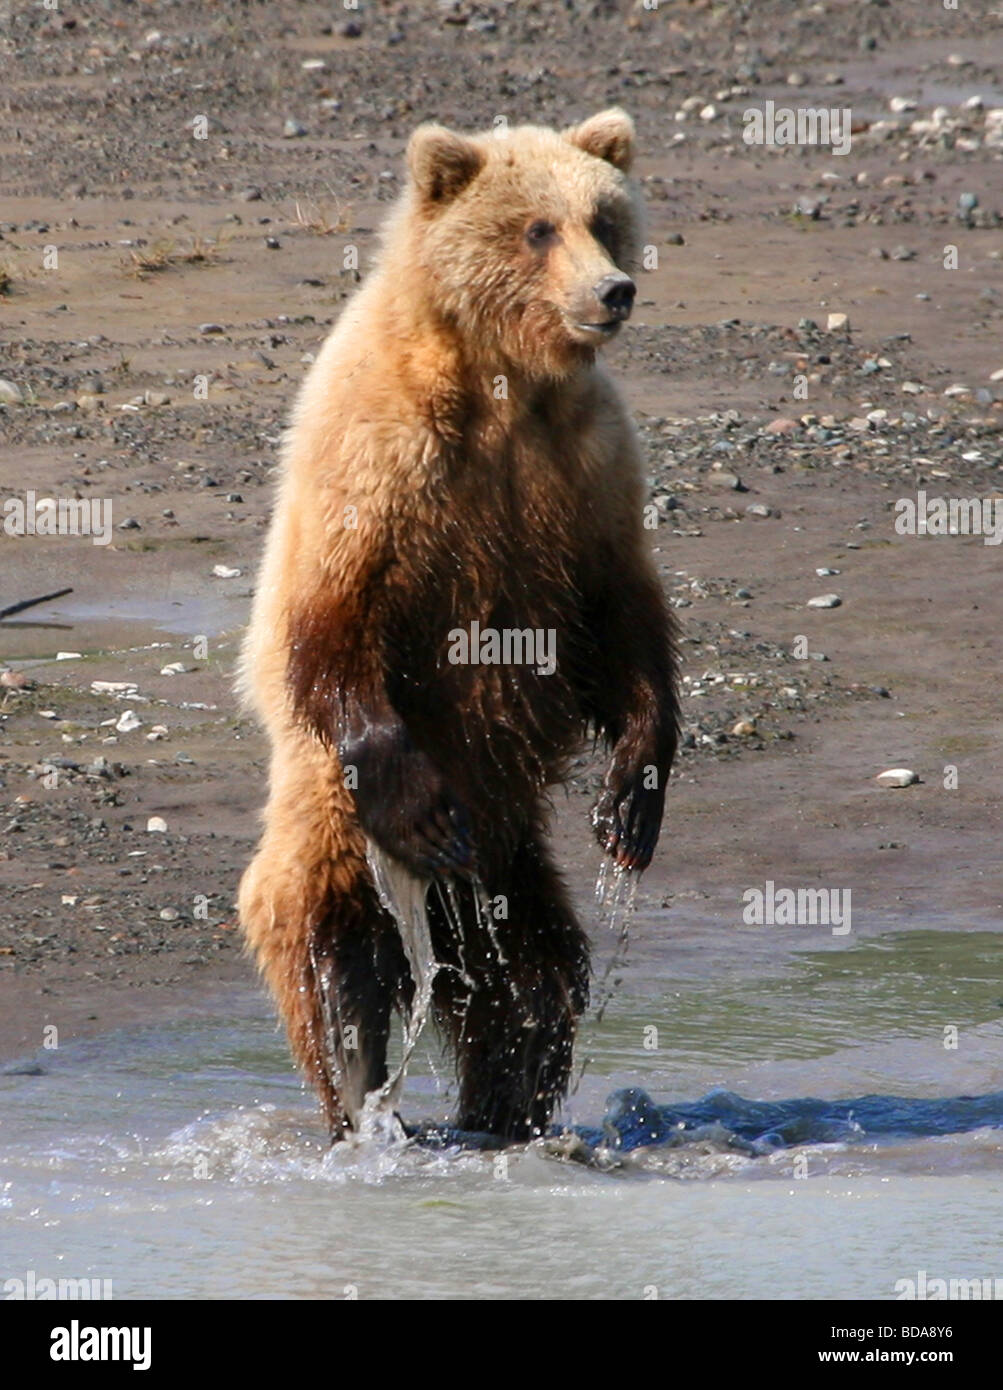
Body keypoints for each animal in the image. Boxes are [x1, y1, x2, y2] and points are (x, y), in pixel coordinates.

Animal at [237, 108, 679, 1144]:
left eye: (604, 218)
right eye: (536, 228)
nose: (613, 290)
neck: (504, 379)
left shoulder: (586, 475)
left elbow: (621, 623)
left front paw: (630, 800)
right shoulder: (382, 458)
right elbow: (332, 618)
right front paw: (417, 798)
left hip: (508, 851)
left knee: (531, 976)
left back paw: (505, 1112)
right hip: (336, 807)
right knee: (333, 939)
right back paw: (358, 1096)